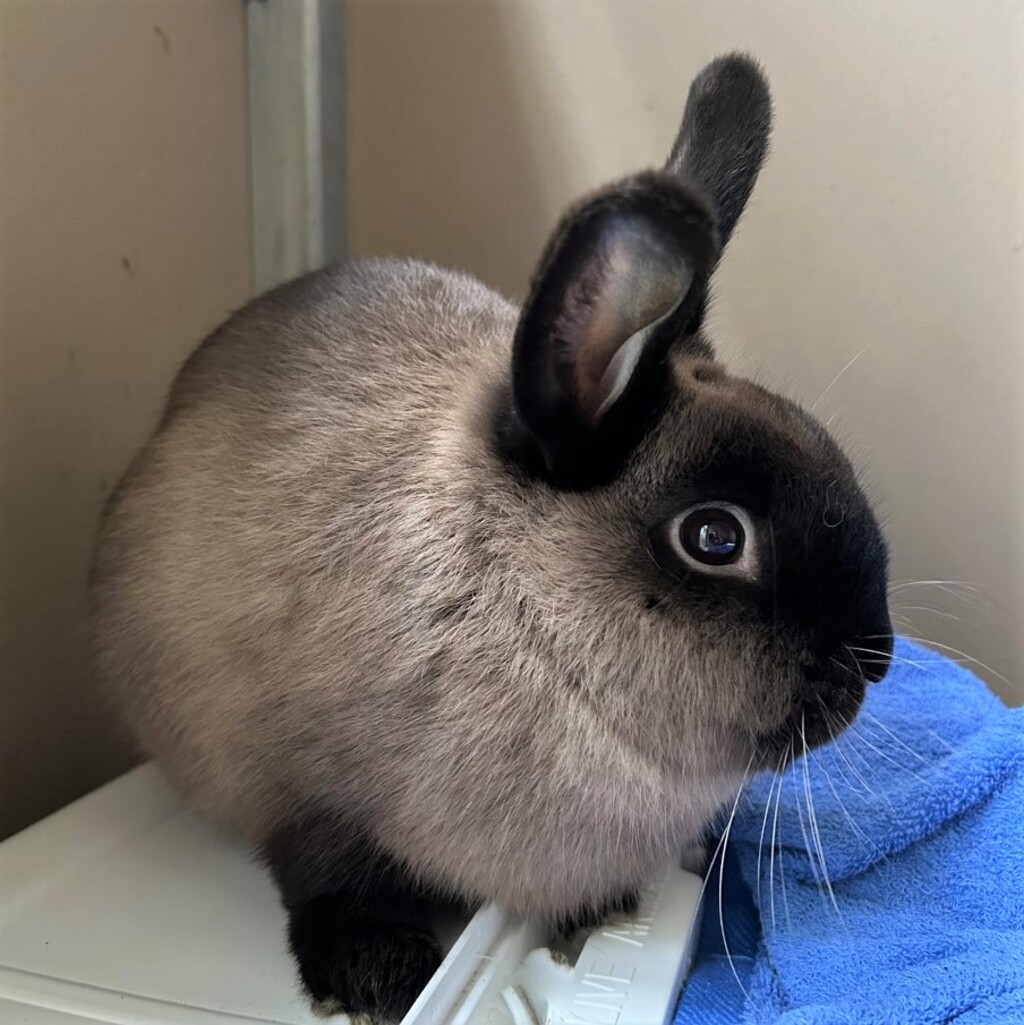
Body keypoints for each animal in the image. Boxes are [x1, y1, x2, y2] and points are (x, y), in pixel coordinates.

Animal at [90, 53, 893, 1022]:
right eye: (713, 537)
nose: (877, 657)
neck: (529, 626)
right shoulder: (303, 796)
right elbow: (332, 878)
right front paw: (381, 979)